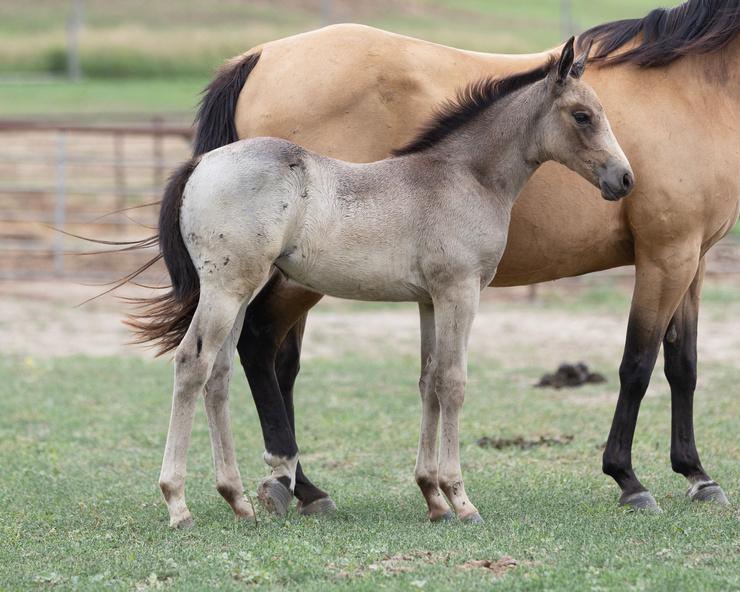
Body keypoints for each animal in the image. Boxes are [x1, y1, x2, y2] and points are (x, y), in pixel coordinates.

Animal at [132, 0, 739, 518]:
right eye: (584, 116)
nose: (624, 179)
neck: (460, 174)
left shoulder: (432, 298)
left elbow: (430, 380)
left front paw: (432, 495)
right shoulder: (652, 254)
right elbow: (466, 380)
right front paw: (470, 496)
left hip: (246, 287)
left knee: (226, 369)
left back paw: (255, 494)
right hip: (250, 287)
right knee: (213, 360)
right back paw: (210, 498)